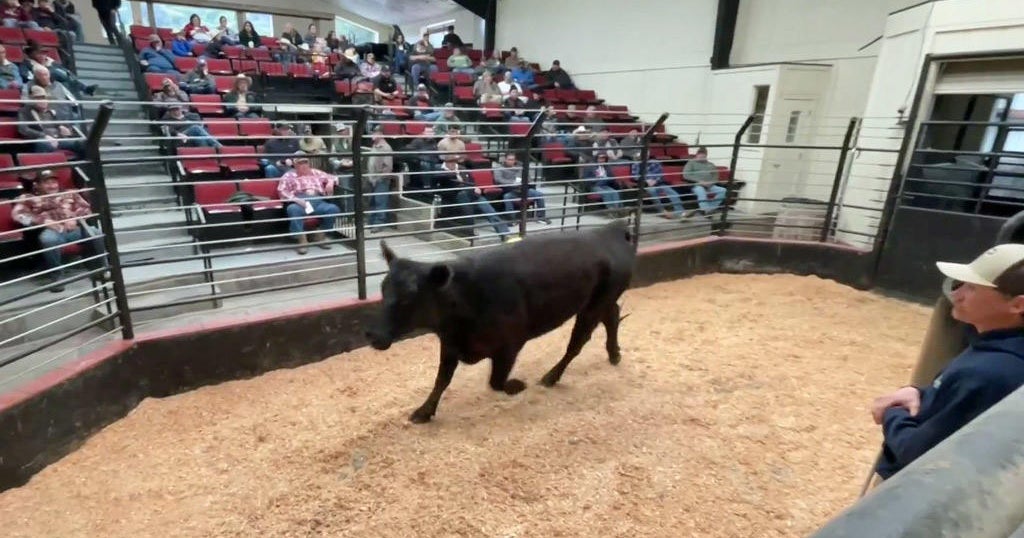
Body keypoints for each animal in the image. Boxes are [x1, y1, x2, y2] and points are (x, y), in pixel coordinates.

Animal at [365, 219, 637, 423]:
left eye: (408, 298)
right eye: (383, 289)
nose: (372, 334)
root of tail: (608, 231)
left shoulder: (510, 344)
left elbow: (496, 381)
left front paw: (518, 385)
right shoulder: (450, 344)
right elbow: (441, 380)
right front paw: (423, 412)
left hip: (592, 307)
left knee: (577, 343)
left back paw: (550, 377)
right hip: (602, 301)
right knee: (612, 317)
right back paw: (614, 355)